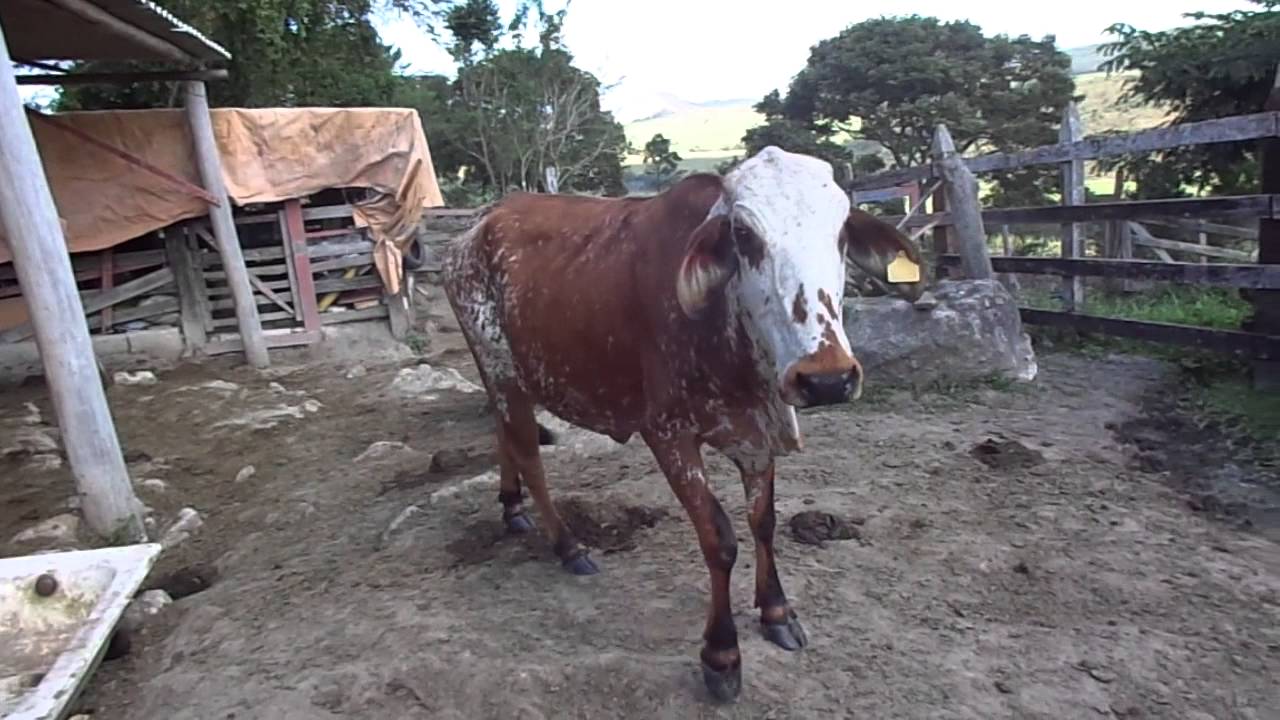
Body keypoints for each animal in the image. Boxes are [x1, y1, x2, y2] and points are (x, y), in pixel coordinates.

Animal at [442, 146, 925, 702]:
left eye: (842, 230)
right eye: (744, 234)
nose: (827, 379)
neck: (727, 334)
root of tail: (479, 224)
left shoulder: (758, 434)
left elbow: (763, 521)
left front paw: (777, 611)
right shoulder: (668, 435)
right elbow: (720, 539)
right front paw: (722, 654)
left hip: (504, 376)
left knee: (505, 436)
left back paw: (512, 506)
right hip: (499, 366)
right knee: (528, 453)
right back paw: (567, 544)